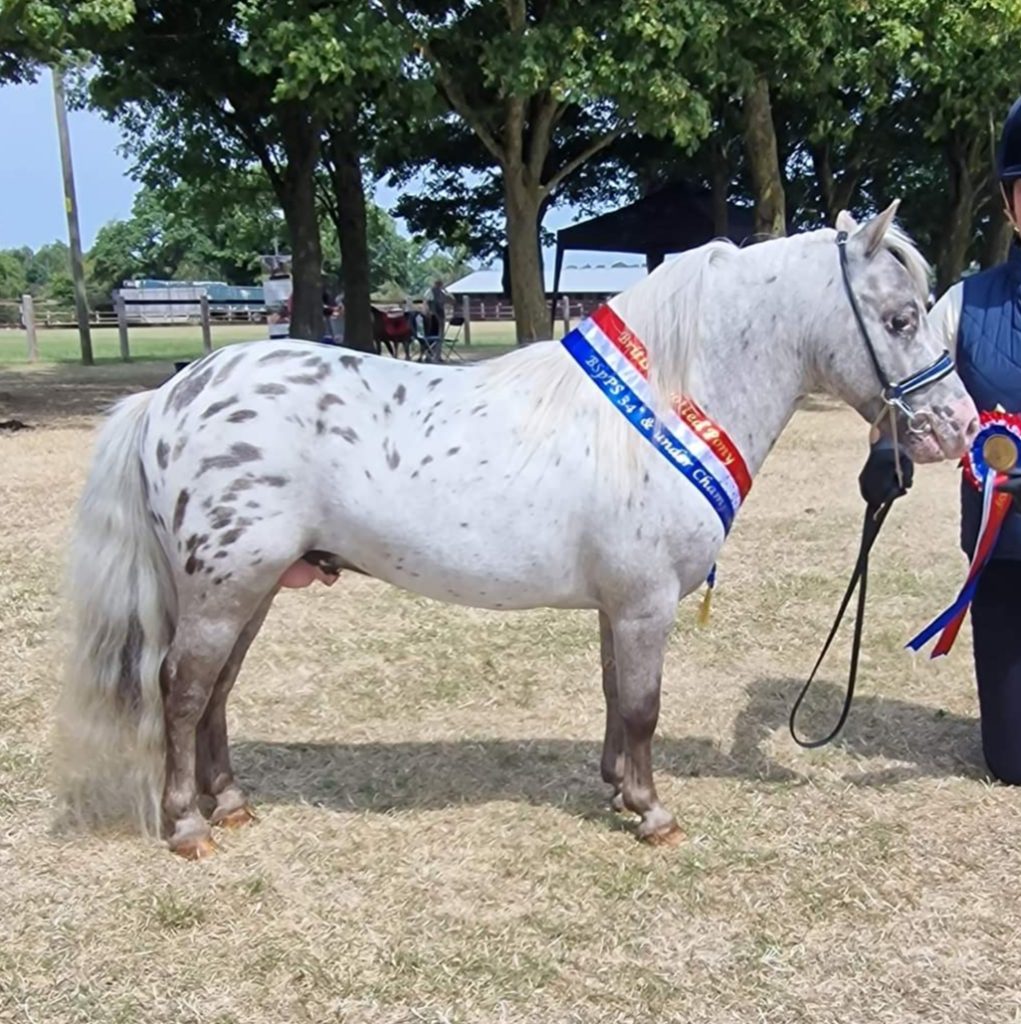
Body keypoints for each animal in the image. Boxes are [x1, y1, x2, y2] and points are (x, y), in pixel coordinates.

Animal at [56, 203, 979, 859]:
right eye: (900, 318)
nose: (958, 429)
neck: (660, 411)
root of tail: (175, 393)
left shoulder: (619, 606)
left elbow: (615, 699)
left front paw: (616, 790)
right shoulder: (644, 603)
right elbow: (642, 707)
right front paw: (652, 814)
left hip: (253, 589)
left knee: (214, 692)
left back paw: (234, 806)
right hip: (224, 588)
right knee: (181, 692)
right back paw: (188, 827)